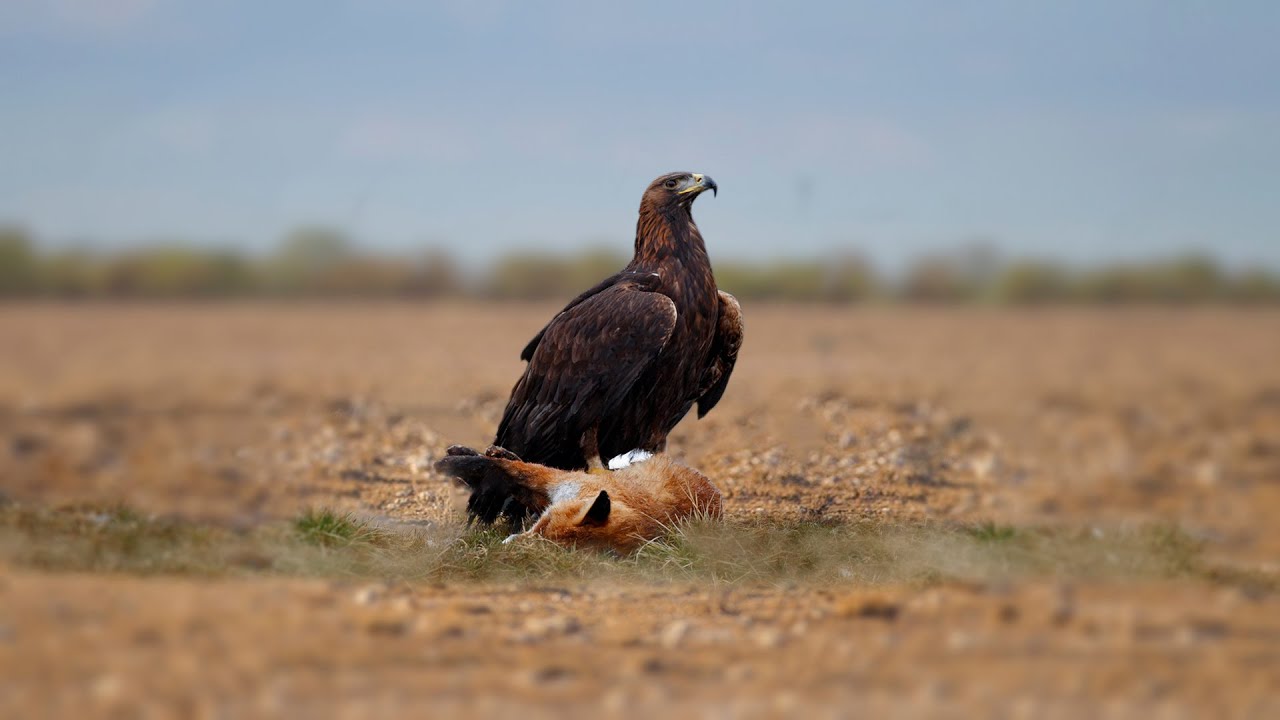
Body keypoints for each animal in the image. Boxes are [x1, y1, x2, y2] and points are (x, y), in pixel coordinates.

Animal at [434, 445, 722, 554]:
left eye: (545, 542)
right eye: (542, 526)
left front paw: (458, 463)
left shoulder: (557, 486)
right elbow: (512, 468)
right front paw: (458, 461)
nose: (507, 545)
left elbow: (513, 473)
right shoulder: (561, 485)